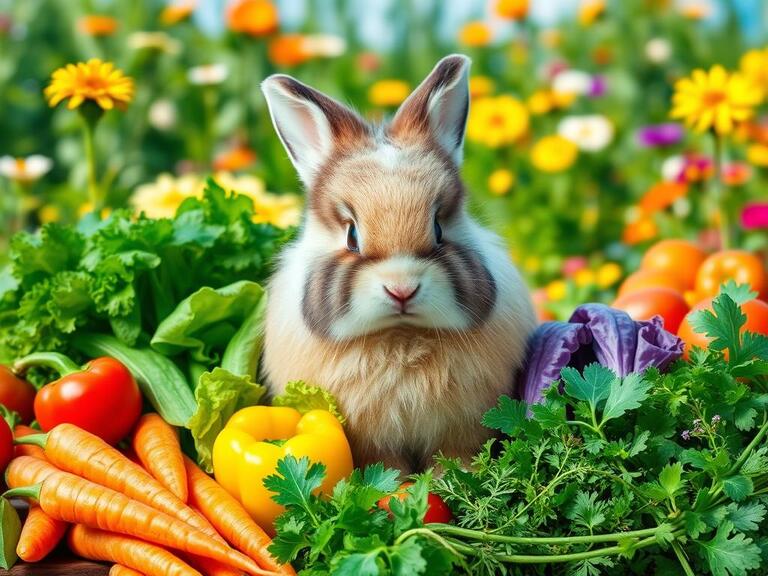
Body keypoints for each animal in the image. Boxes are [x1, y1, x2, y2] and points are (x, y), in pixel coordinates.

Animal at [260, 54, 537, 474]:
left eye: (438, 227)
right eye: (351, 236)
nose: (402, 289)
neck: (400, 337)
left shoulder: (460, 430)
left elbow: (453, 459)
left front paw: (451, 482)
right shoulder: (372, 440)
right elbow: (387, 467)